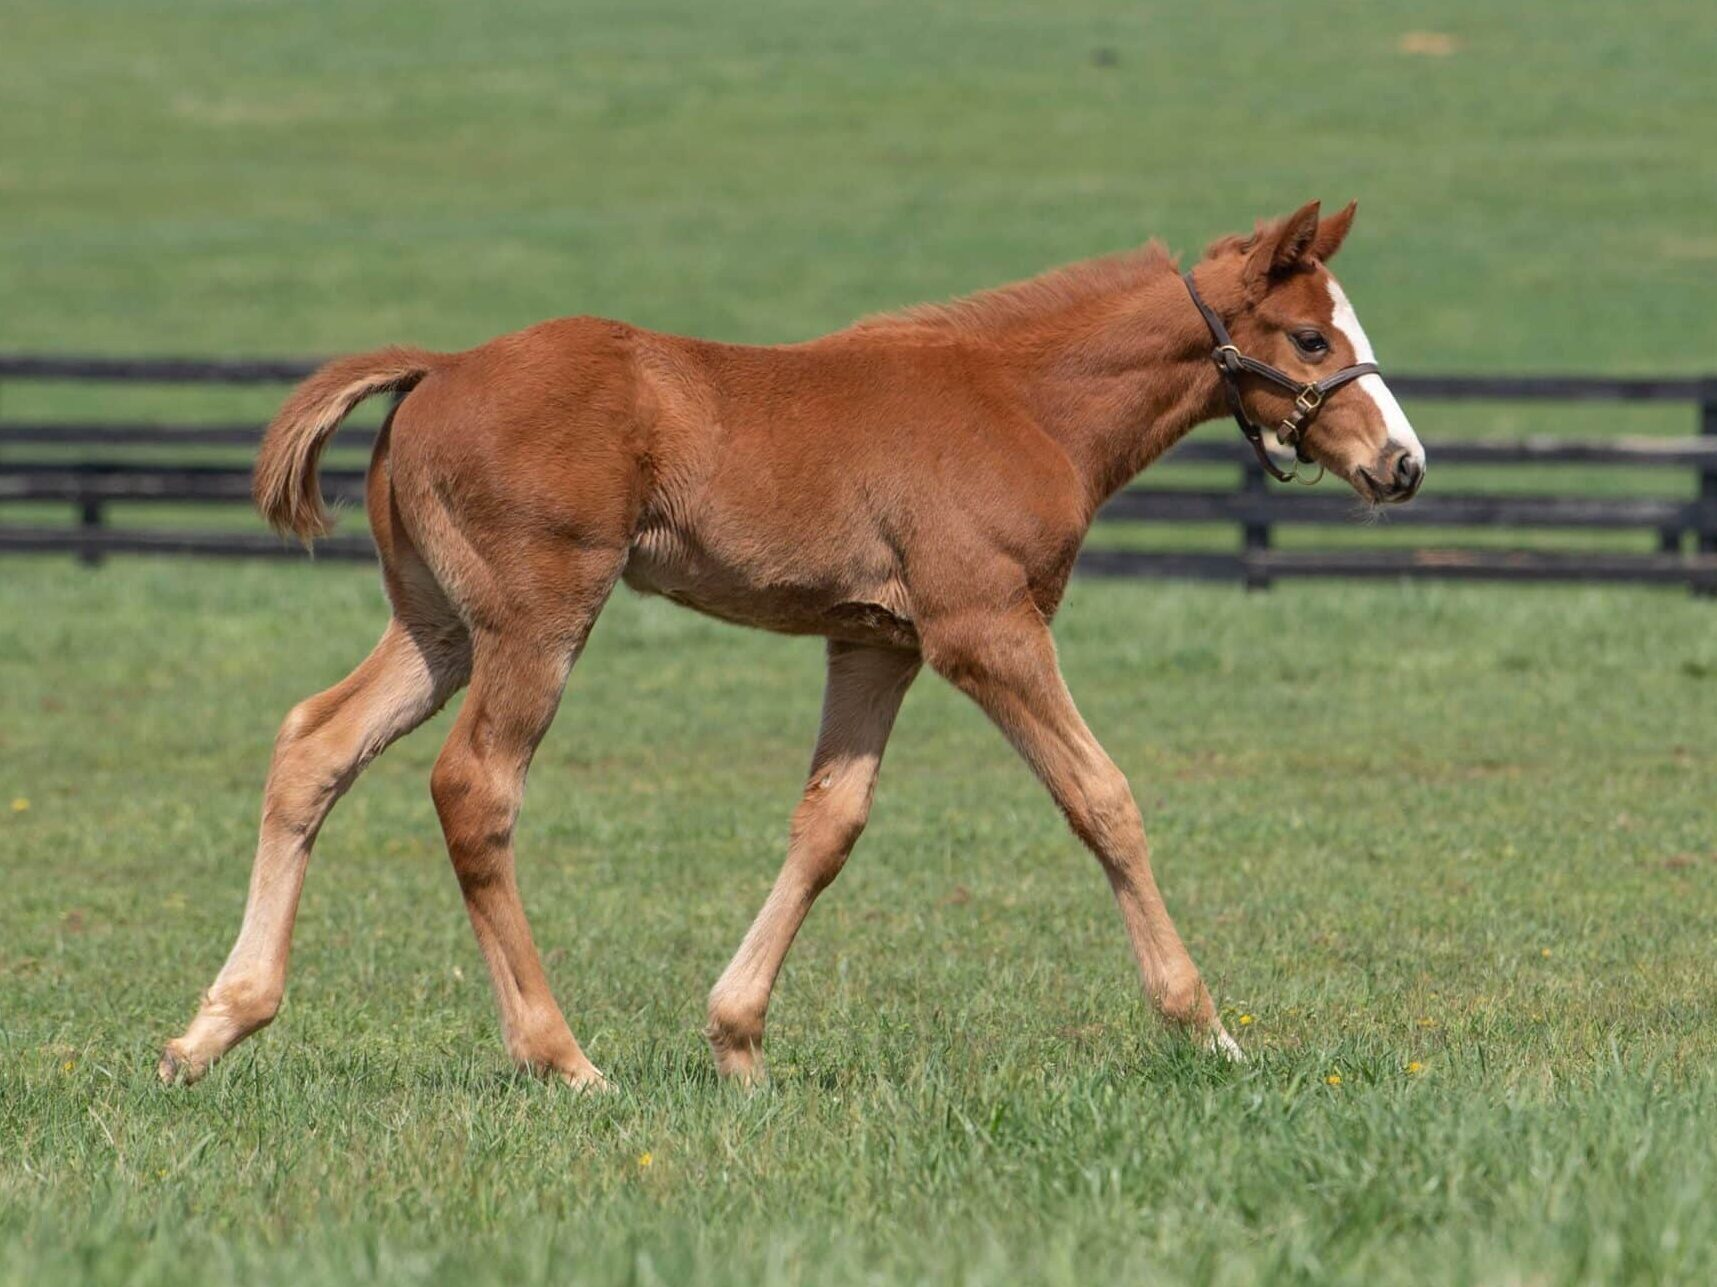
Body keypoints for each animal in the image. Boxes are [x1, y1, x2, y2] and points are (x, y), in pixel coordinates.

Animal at [159, 200, 1425, 1088]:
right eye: (1311, 338)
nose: (1402, 465)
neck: (1023, 401)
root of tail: (439, 368)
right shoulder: (986, 632)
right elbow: (1102, 799)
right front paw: (1206, 1031)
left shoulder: (877, 645)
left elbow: (830, 824)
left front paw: (738, 1043)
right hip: (535, 619)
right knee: (474, 786)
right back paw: (561, 1057)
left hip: (436, 627)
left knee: (314, 744)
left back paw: (214, 1027)